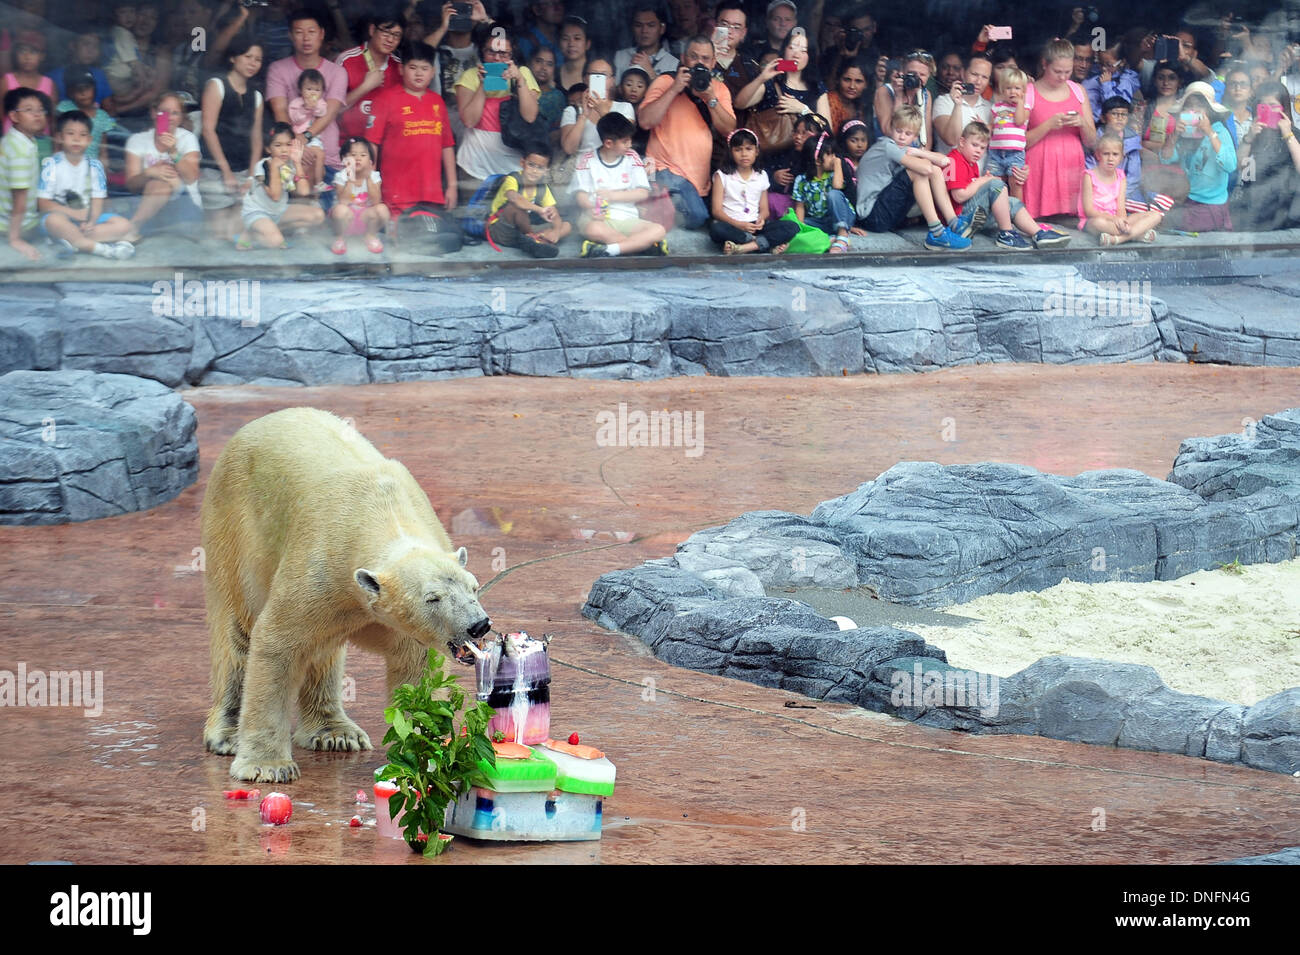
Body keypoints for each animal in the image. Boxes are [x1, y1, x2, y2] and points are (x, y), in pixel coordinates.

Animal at [200, 407, 492, 783]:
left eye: (474, 586)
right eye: (433, 598)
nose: (478, 625)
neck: (380, 511)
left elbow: (415, 670)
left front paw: (425, 751)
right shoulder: (321, 563)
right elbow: (276, 640)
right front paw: (268, 766)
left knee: (322, 649)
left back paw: (336, 733)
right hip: (234, 526)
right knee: (237, 628)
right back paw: (227, 734)